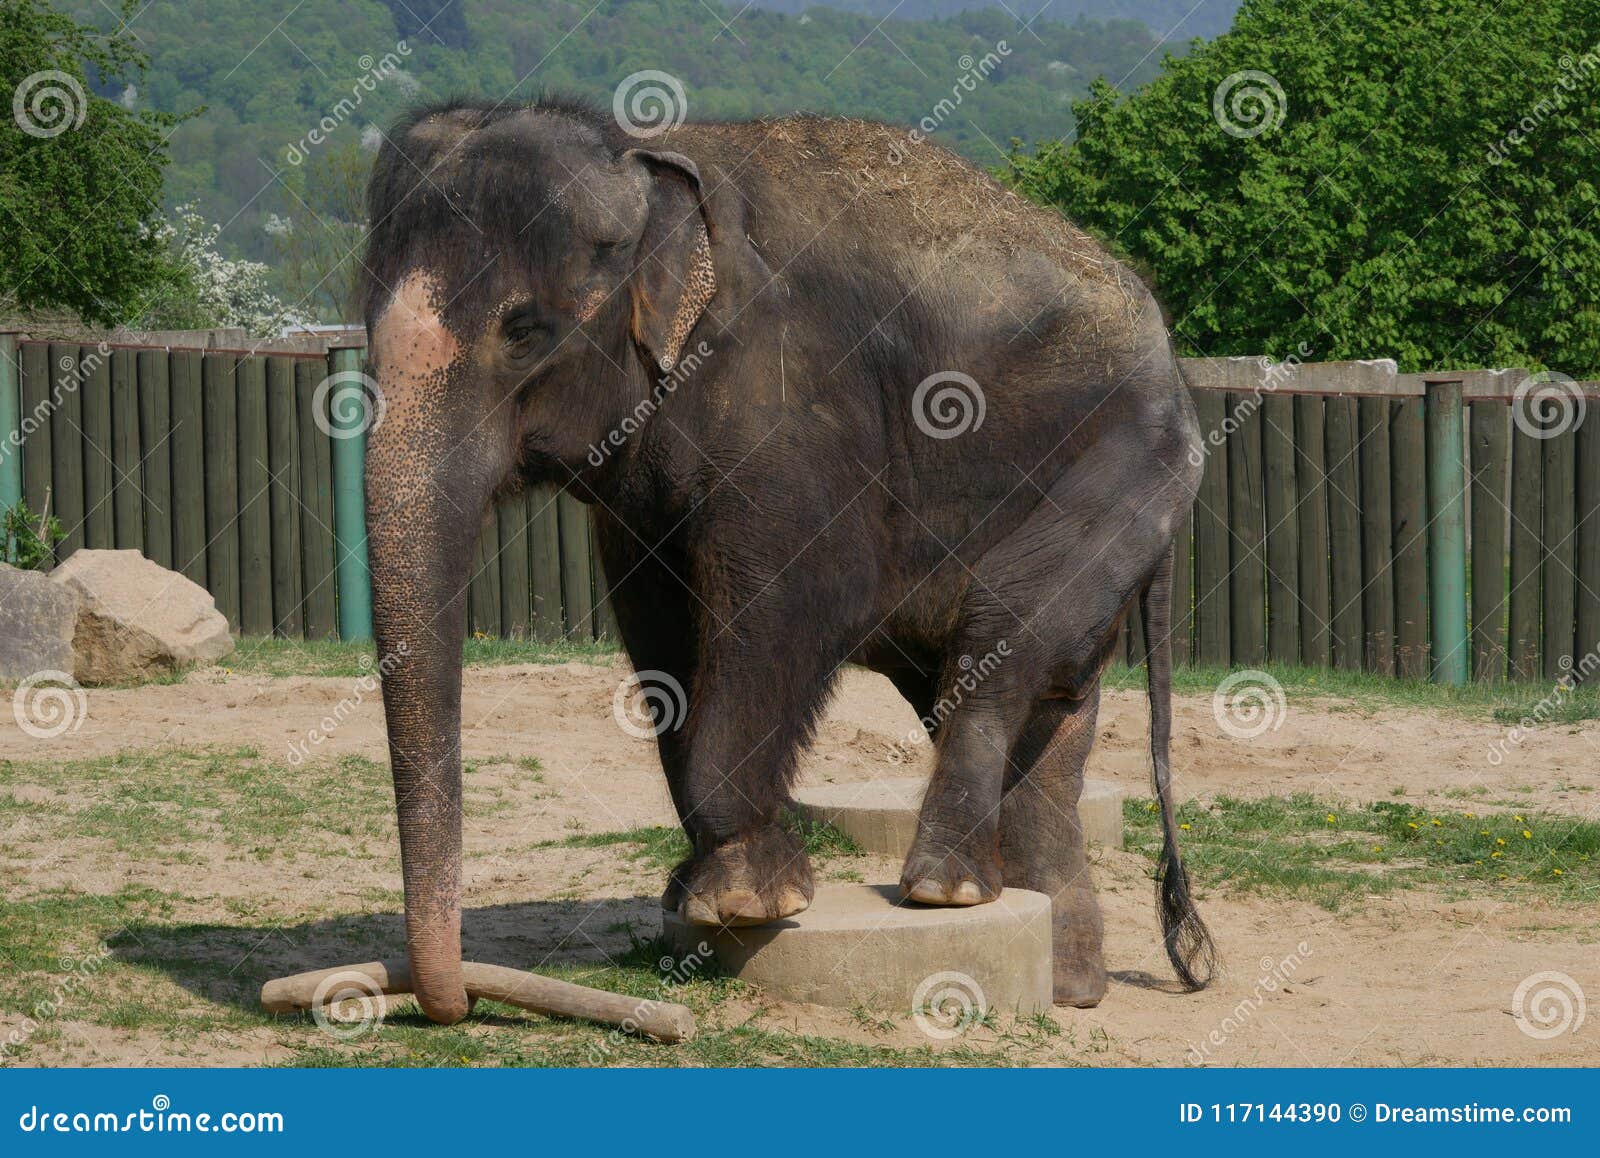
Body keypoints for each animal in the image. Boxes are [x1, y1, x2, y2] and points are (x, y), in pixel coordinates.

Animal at [359, 96, 1216, 1026]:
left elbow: (793, 595)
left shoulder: (795, 396)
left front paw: (745, 900)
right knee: (1053, 698)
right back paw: (1067, 975)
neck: (643, 156)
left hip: (1131, 465)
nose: (453, 1000)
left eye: (522, 333)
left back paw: (943, 894)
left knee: (1000, 629)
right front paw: (697, 889)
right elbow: (658, 624)